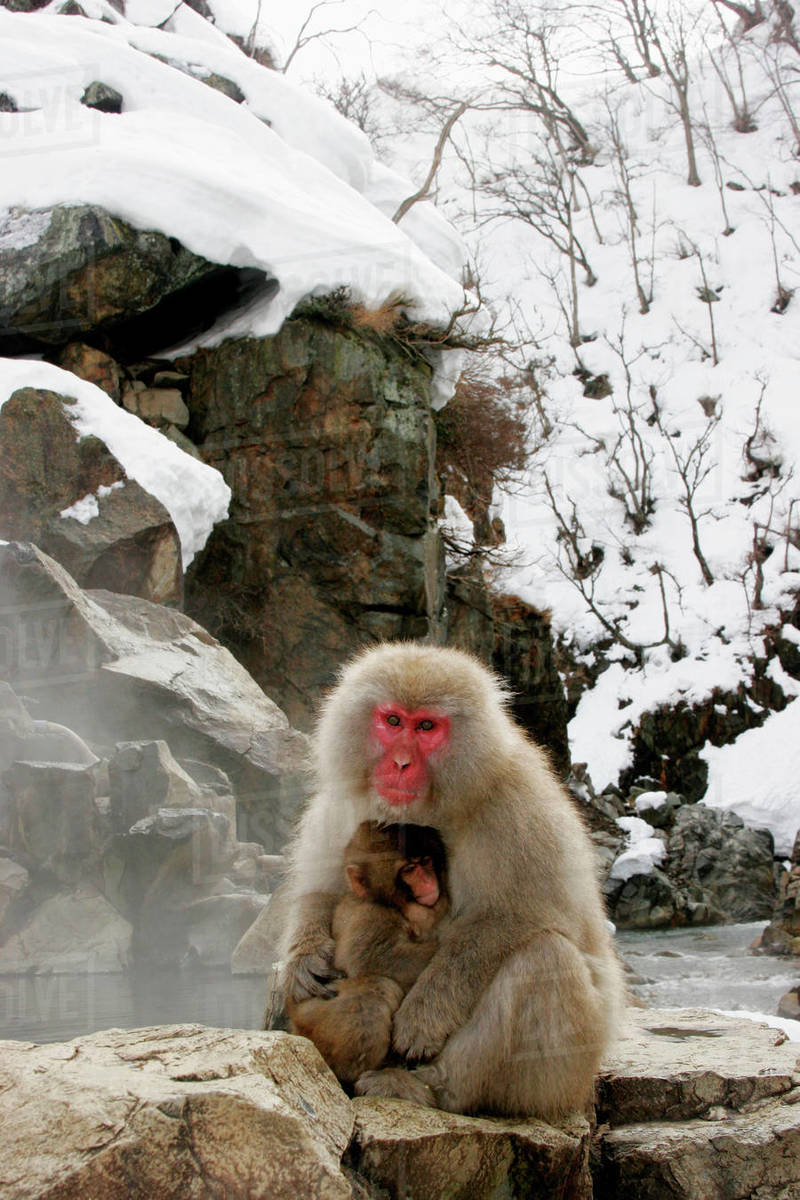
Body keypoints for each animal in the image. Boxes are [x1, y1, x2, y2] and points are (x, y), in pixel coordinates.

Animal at [286, 821, 448, 1084]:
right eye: (410, 869)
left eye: (426, 861)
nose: (428, 882)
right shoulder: (372, 917)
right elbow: (377, 959)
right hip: (313, 1021)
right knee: (378, 989)